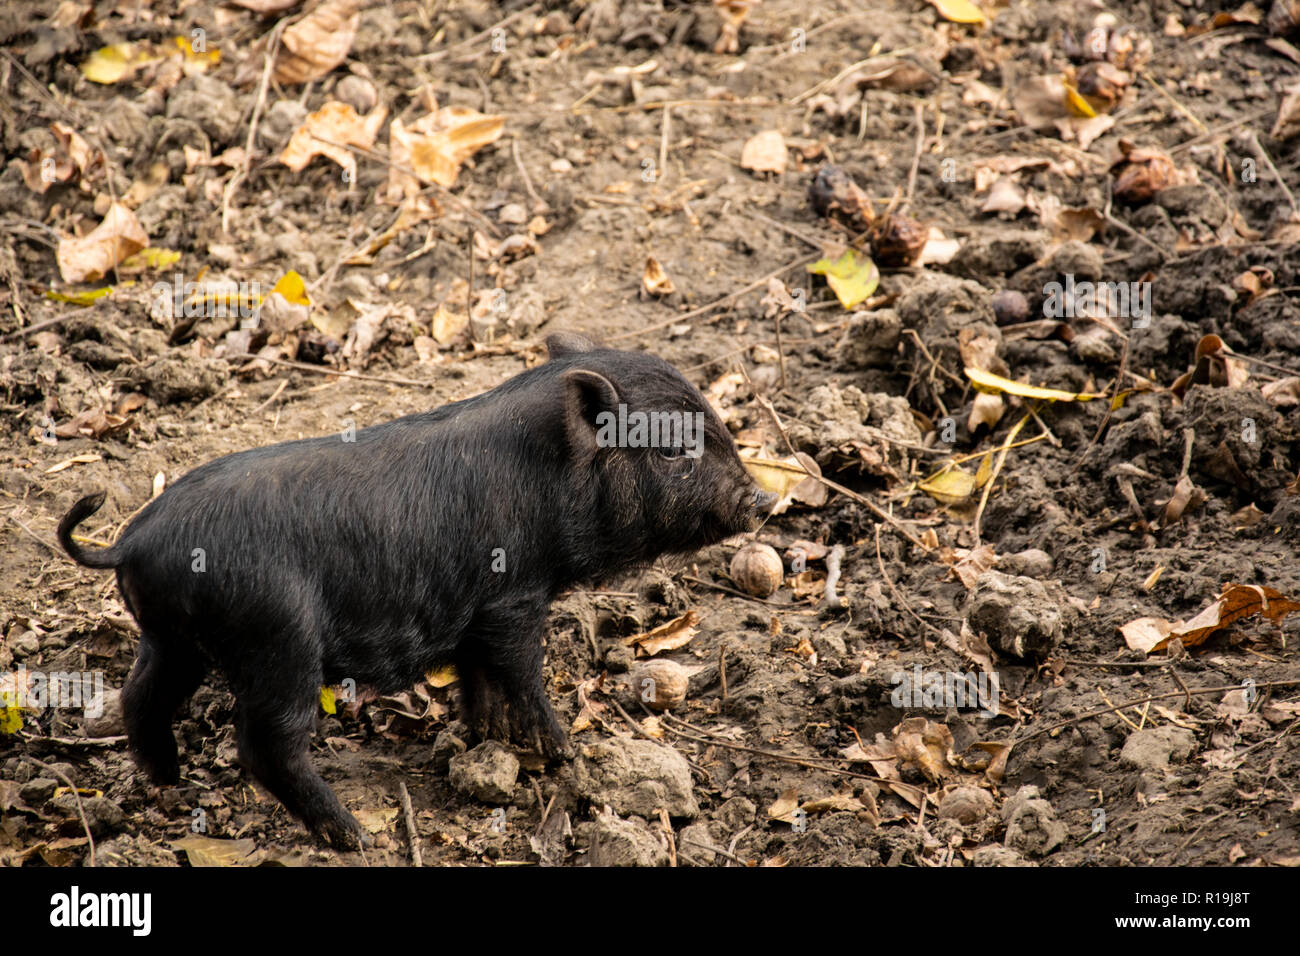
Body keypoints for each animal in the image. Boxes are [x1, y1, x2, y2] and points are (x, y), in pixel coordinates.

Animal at [58, 332, 777, 848]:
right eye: (671, 451)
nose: (765, 499)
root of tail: (132, 543)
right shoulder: (513, 597)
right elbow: (521, 673)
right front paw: (569, 752)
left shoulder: (473, 610)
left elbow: (477, 675)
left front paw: (482, 741)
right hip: (277, 640)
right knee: (267, 742)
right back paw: (353, 838)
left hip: (171, 638)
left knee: (140, 695)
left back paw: (169, 781)